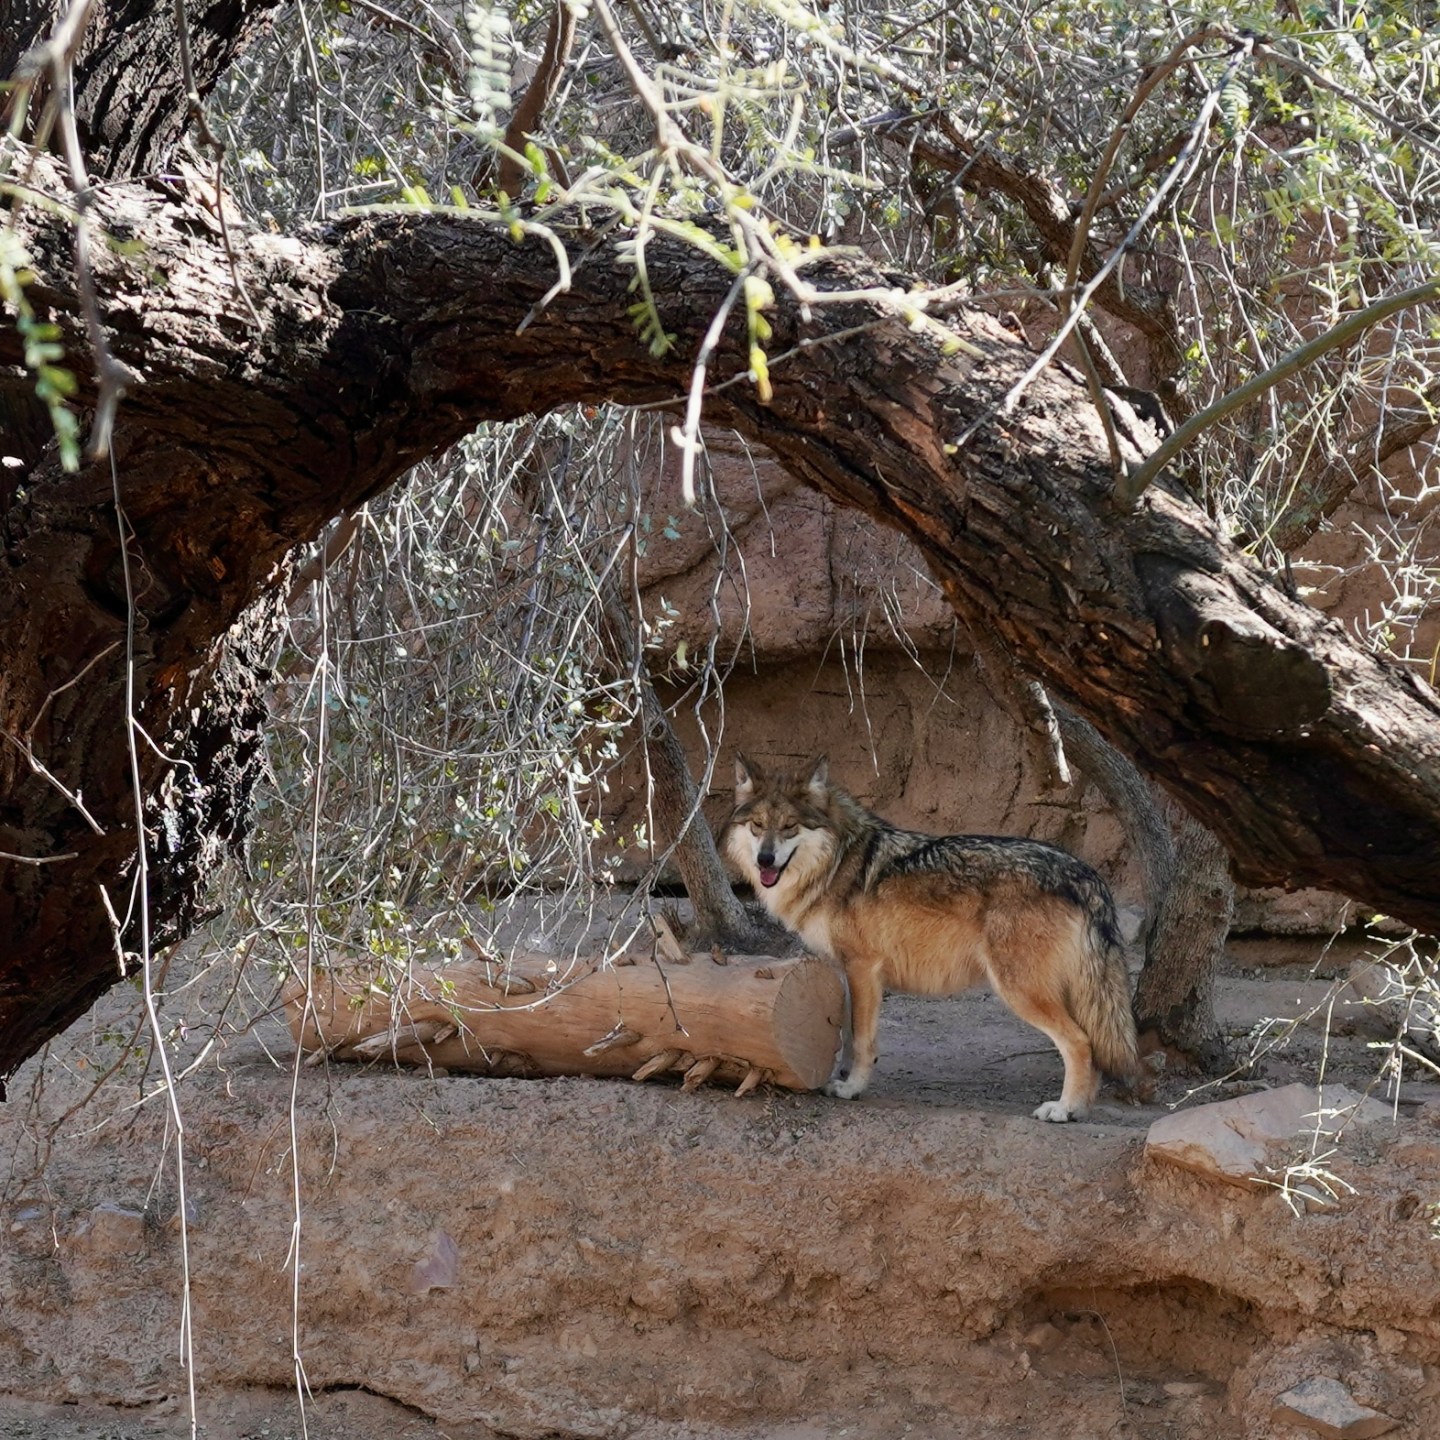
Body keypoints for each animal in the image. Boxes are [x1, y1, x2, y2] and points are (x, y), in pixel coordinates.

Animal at [723, 754, 1145, 1121]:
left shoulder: (862, 967)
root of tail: (1086, 874)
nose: (764, 860)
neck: (838, 862)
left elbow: (861, 1039)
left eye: (789, 826)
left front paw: (852, 1088)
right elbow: (845, 1033)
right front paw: (840, 1077)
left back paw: (1064, 1110)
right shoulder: (849, 971)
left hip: (1018, 990)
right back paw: (1080, 1108)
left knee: (1080, 1043)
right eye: (758, 825)